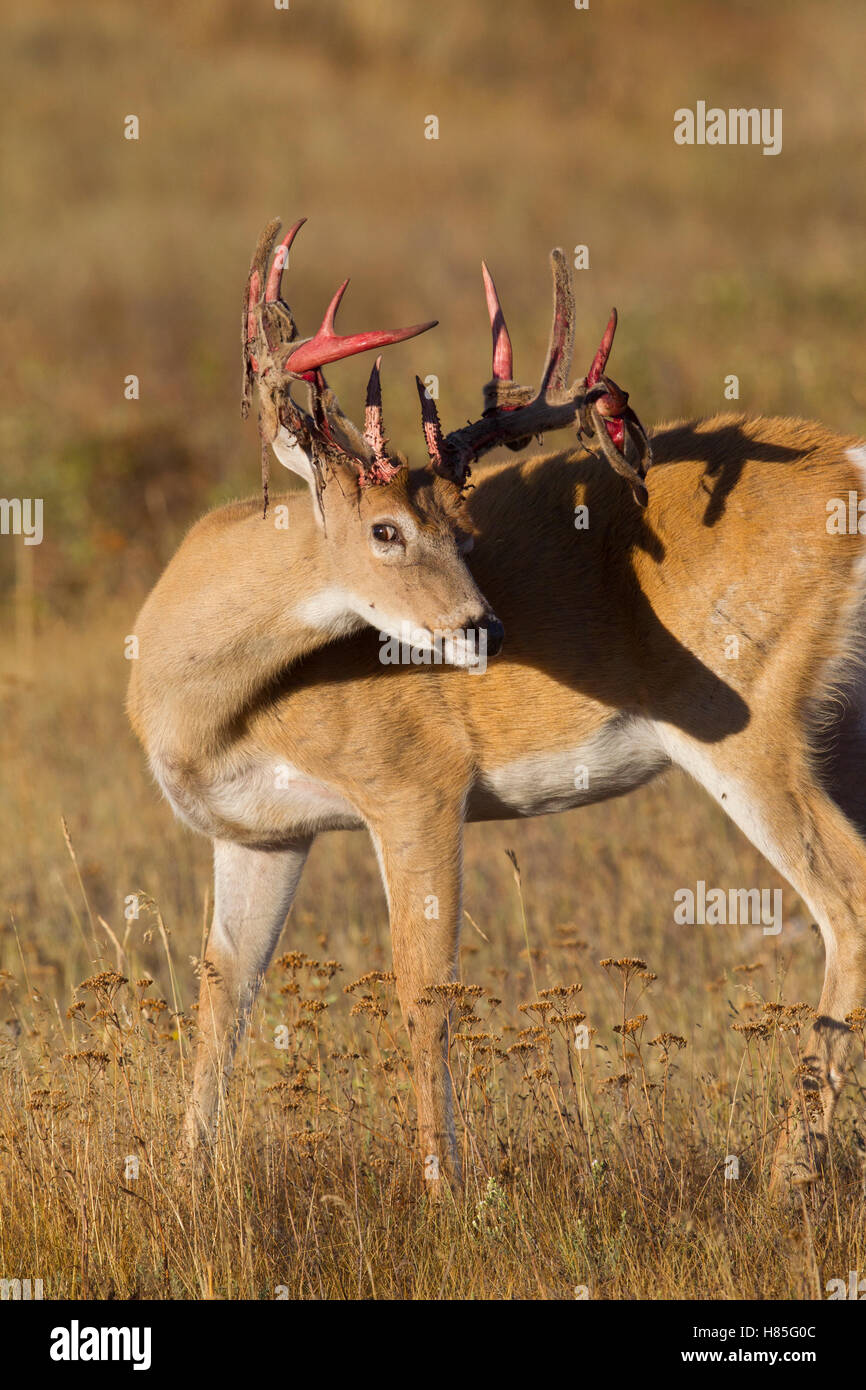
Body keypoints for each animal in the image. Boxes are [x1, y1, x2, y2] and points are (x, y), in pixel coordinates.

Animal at [128, 217, 866, 1196]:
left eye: (463, 529)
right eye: (387, 529)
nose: (485, 628)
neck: (202, 704)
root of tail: (851, 469)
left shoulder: (416, 786)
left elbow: (424, 992)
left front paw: (442, 1182)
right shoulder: (260, 833)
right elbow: (224, 997)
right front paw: (186, 1180)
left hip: (755, 730)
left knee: (847, 902)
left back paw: (788, 1172)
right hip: (841, 727)